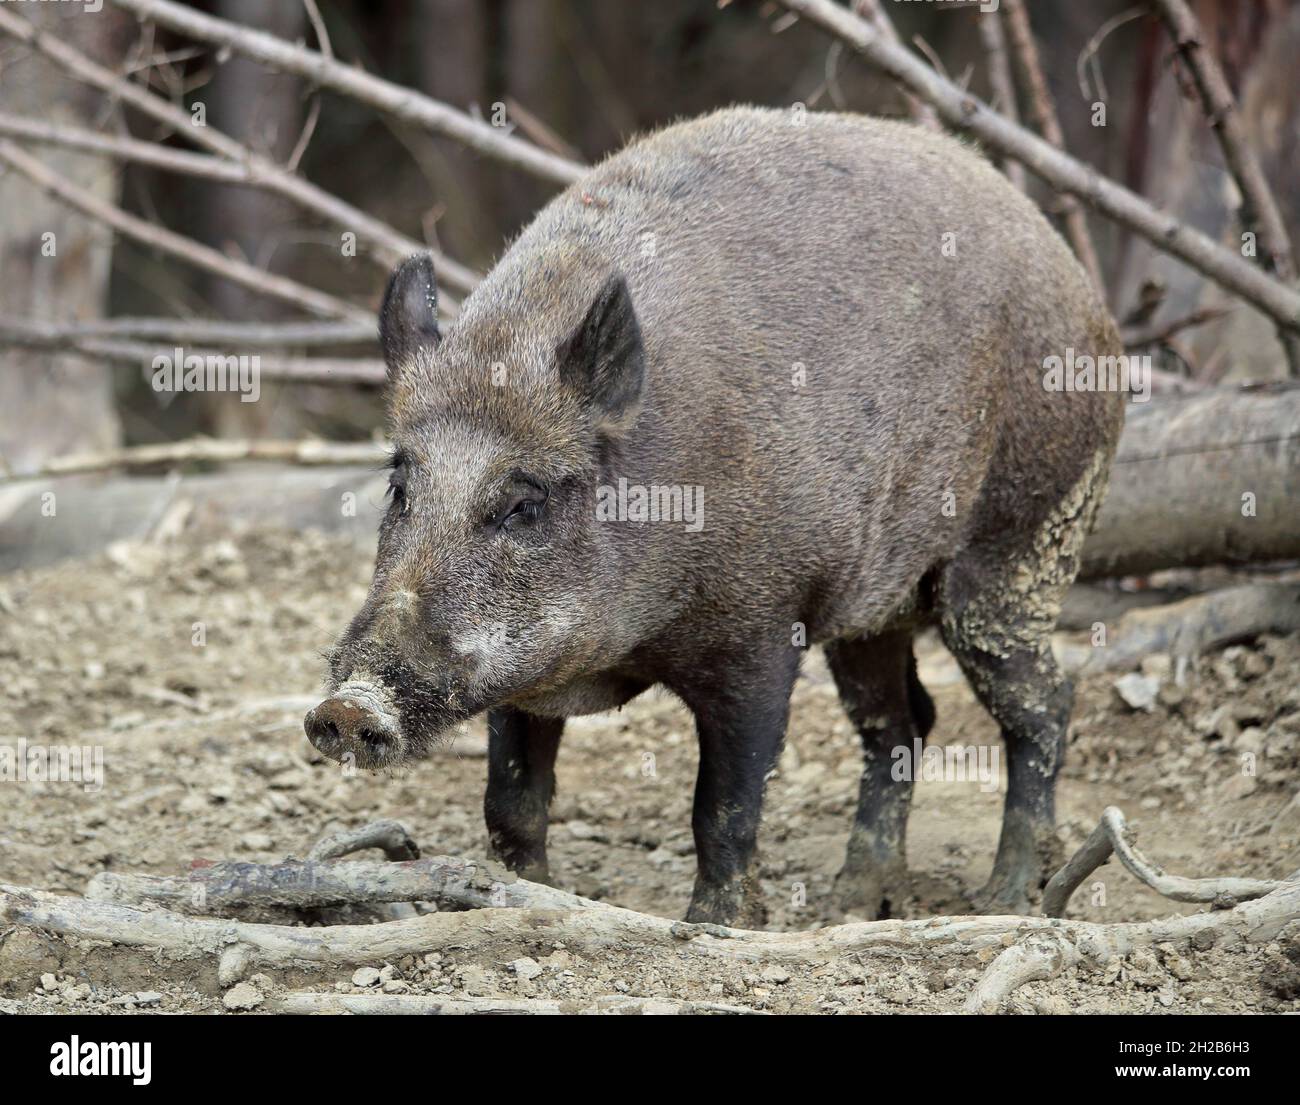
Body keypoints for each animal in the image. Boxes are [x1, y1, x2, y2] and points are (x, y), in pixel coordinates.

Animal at [305, 106, 1125, 926]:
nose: (343, 709)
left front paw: (712, 927)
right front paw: (522, 897)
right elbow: (512, 803)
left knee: (1042, 704)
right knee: (901, 720)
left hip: (1019, 544)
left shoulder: (761, 631)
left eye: (524, 501)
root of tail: (1086, 297)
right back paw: (856, 899)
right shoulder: (527, 681)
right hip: (872, 608)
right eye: (399, 484)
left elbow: (723, 810)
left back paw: (1009, 895)